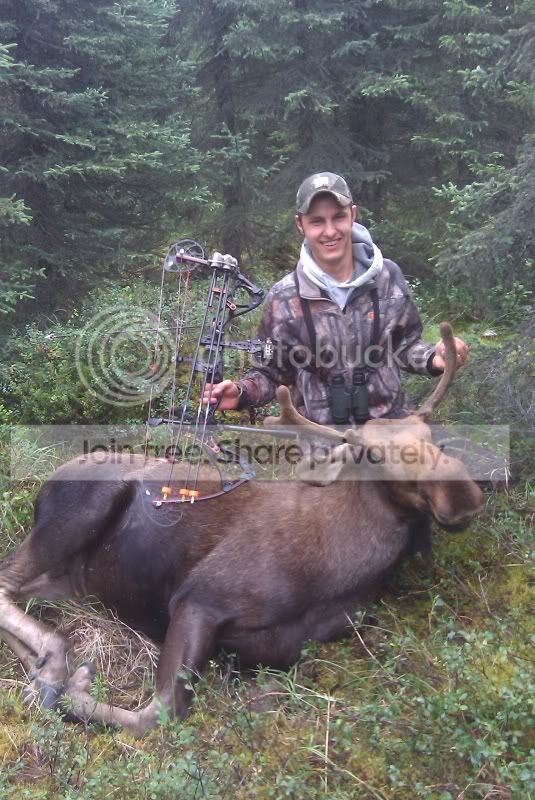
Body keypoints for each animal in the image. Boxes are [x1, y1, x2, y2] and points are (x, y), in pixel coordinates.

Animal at [0, 323, 484, 737]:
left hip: (73, 581)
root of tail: (45, 485)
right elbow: (159, 713)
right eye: (373, 455)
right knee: (8, 581)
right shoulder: (198, 599)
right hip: (79, 511)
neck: (335, 575)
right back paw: (57, 663)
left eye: (432, 439)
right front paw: (76, 687)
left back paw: (41, 668)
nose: (461, 494)